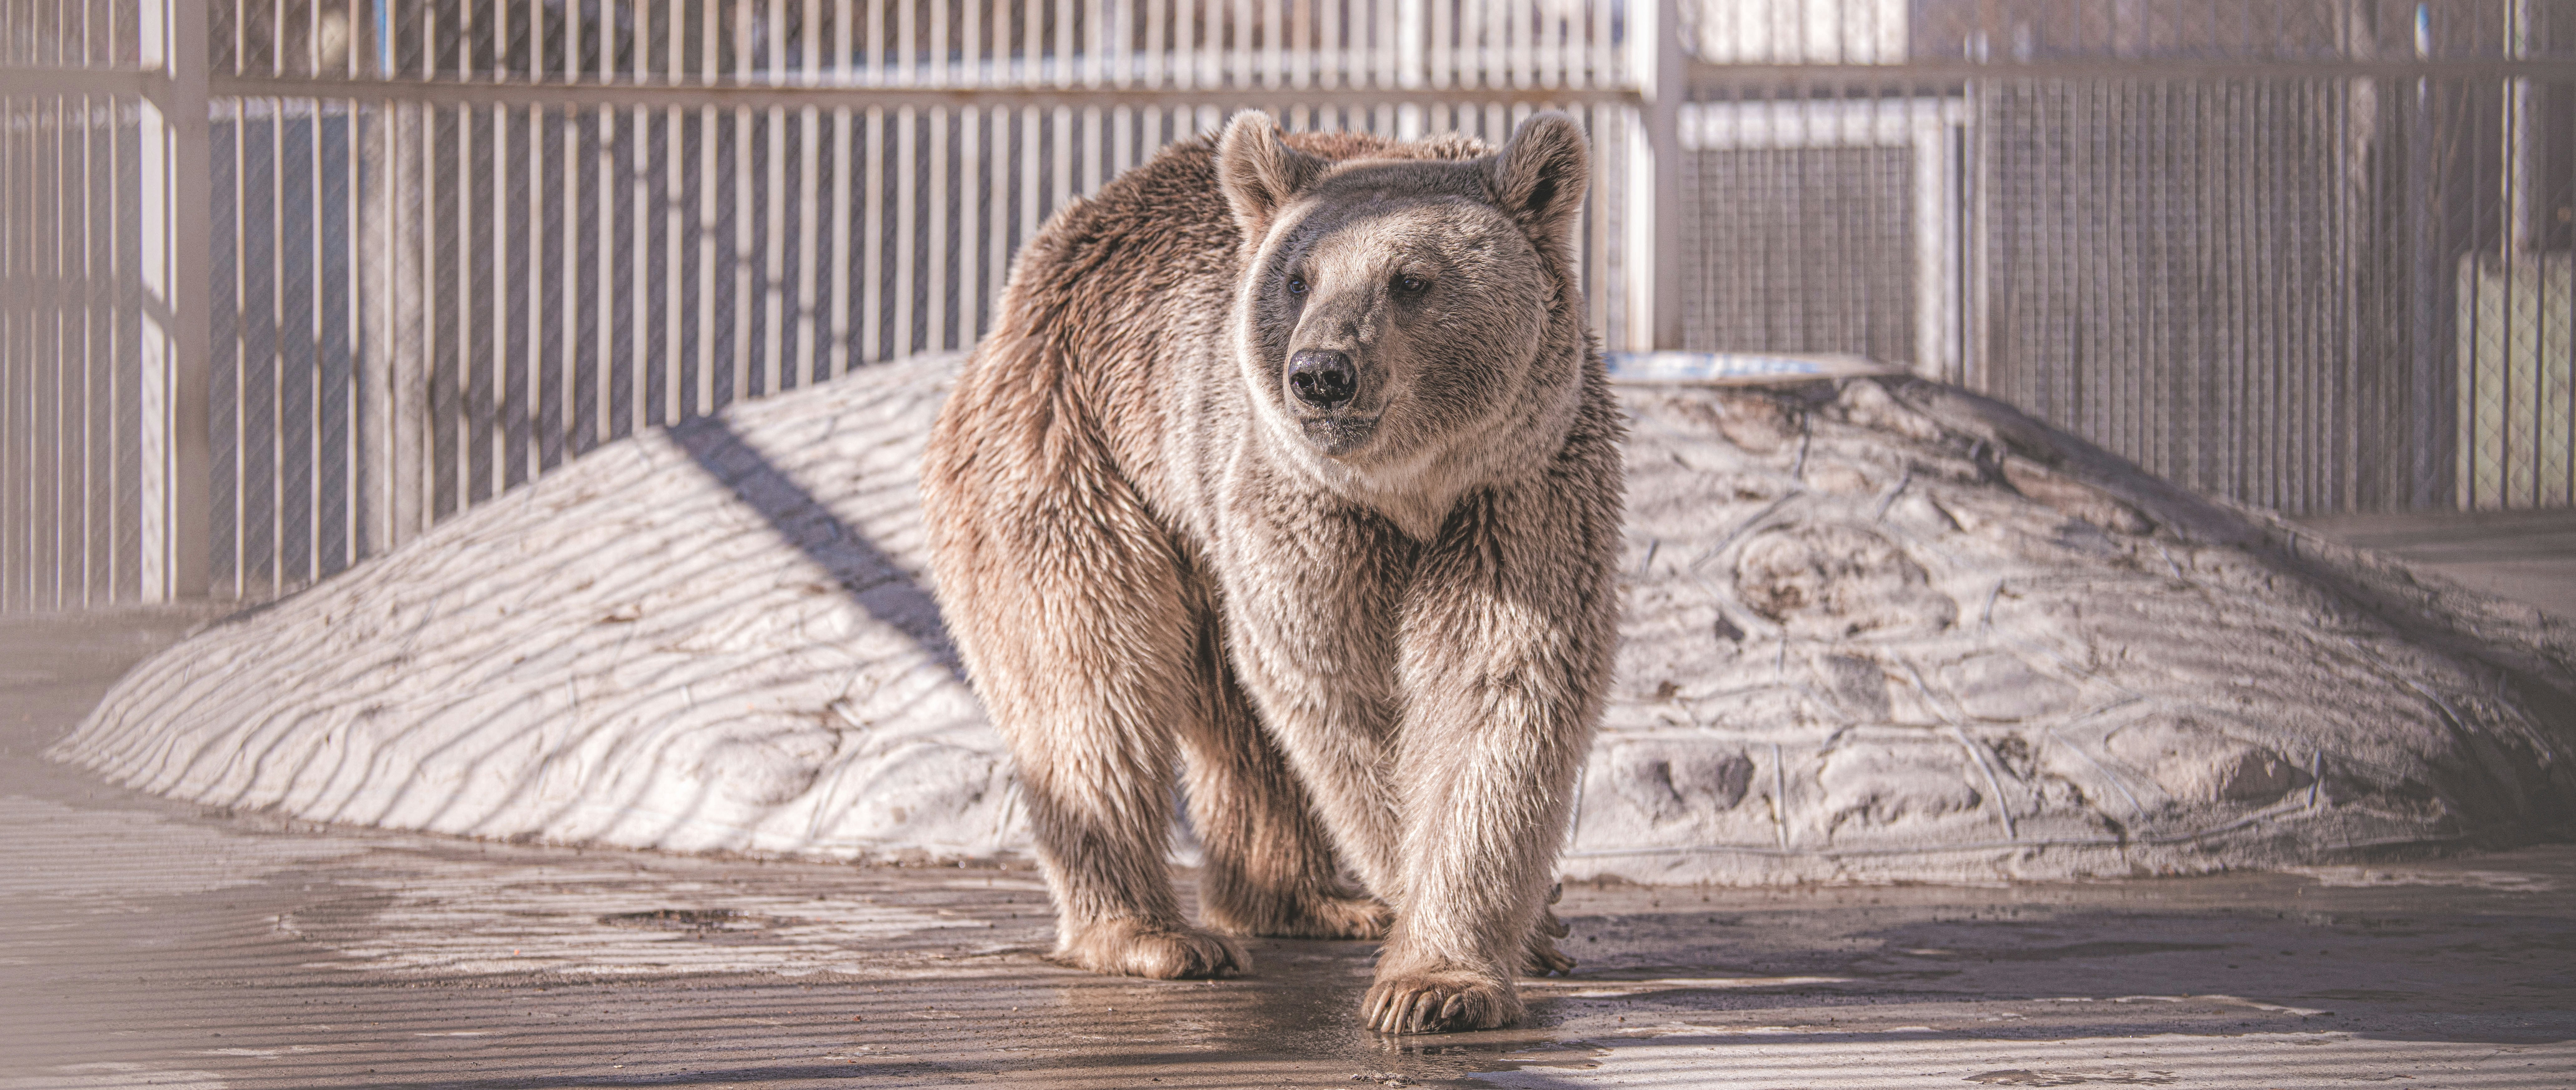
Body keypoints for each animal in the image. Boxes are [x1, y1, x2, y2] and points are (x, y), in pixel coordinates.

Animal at [919, 110, 1624, 1034]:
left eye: (1410, 279)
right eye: (1299, 277)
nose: (1321, 373)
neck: (1410, 493)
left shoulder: (1522, 493)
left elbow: (1496, 691)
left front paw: (1442, 979)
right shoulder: (1300, 506)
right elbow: (1348, 704)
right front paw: (1502, 936)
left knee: (1238, 727)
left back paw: (1305, 902)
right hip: (1076, 454)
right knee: (1090, 680)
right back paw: (1153, 933)